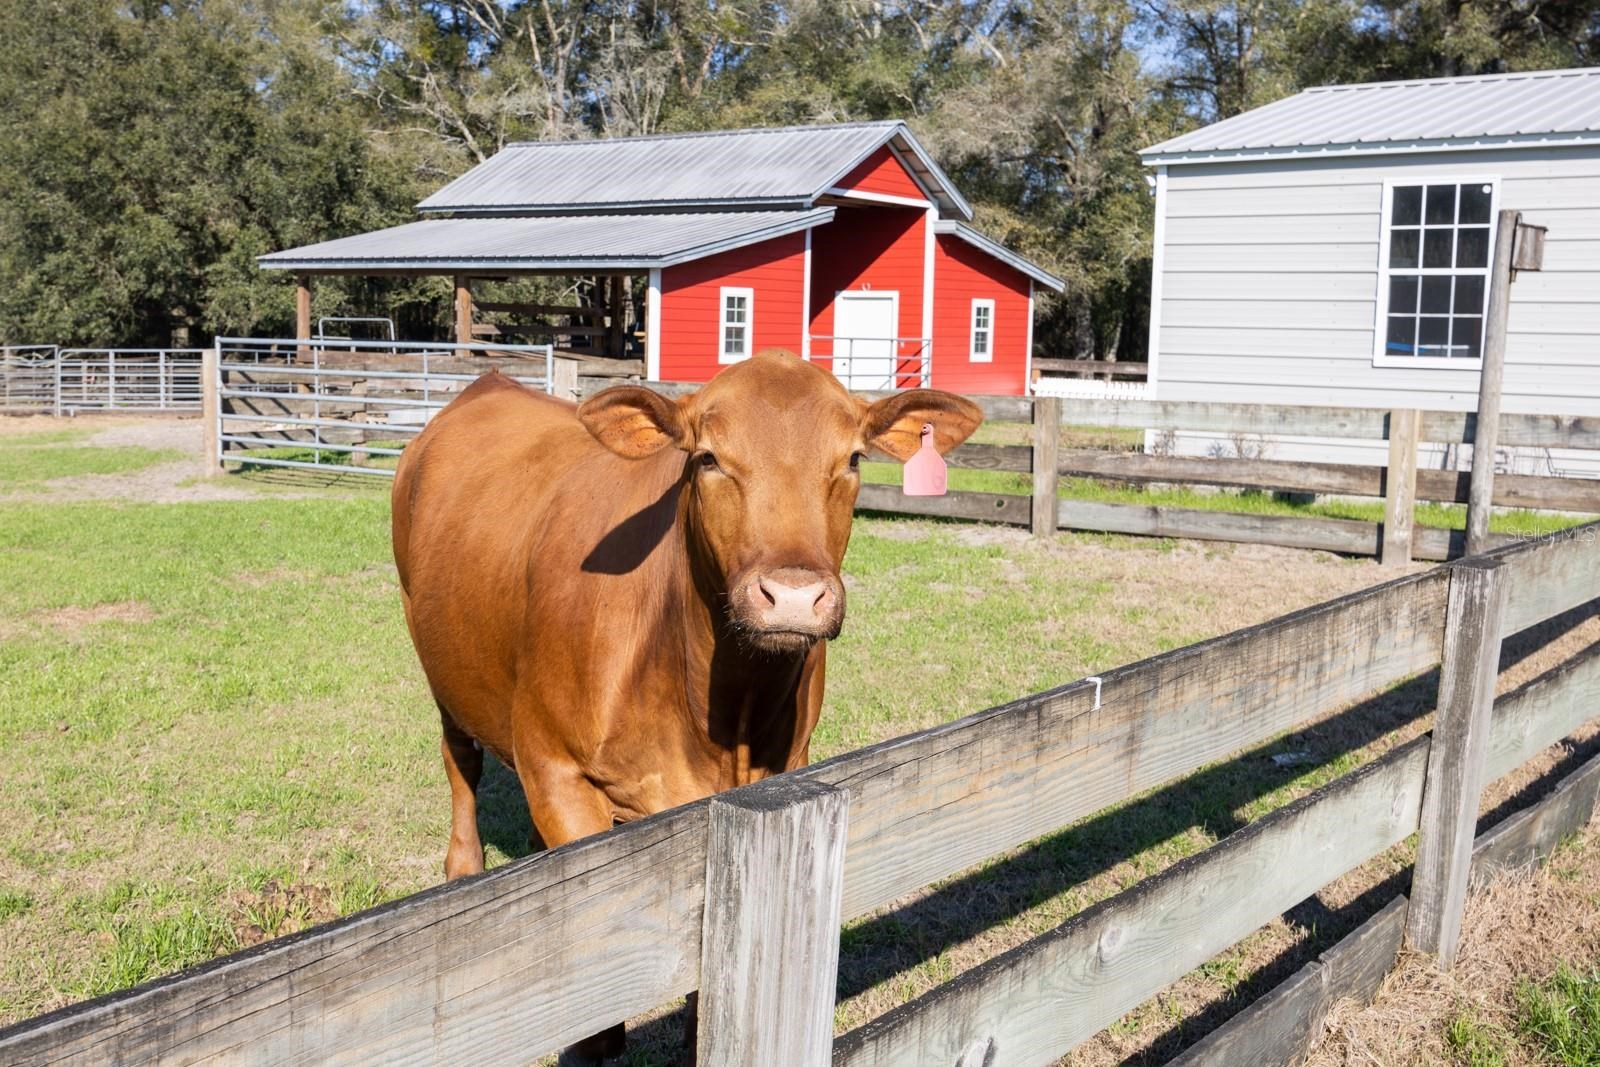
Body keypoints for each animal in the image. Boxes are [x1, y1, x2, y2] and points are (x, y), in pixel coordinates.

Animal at [391, 349, 980, 1059]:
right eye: (707, 458)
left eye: (854, 459)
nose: (791, 595)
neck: (723, 716)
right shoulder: (554, 766)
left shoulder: (783, 767)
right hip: (440, 667)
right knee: (462, 764)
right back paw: (462, 866)